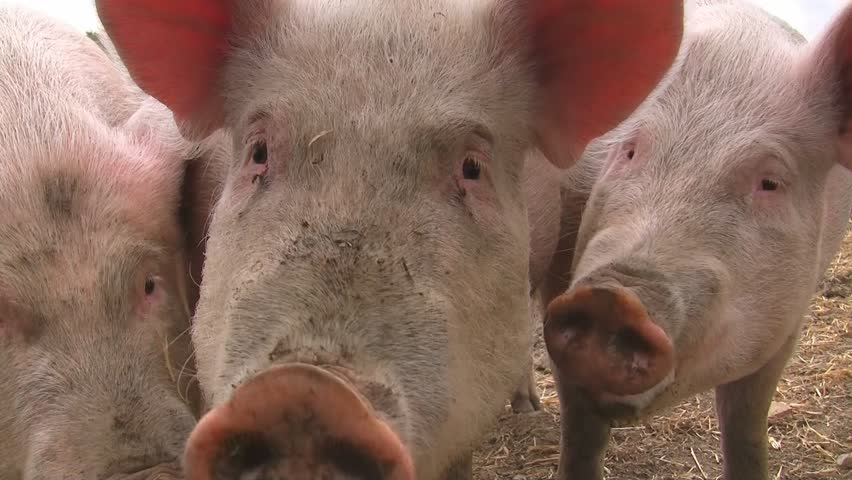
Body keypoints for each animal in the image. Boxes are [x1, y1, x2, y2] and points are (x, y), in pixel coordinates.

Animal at [538, 1, 852, 479]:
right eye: (630, 150)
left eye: (770, 182)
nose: (611, 296)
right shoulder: (562, 270)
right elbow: (581, 429)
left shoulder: (790, 320)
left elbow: (746, 425)